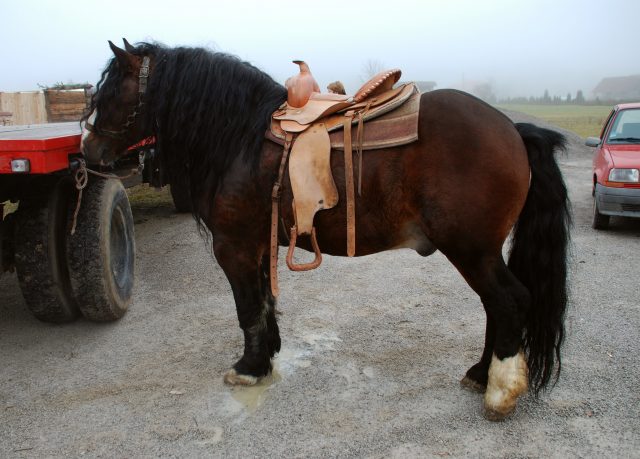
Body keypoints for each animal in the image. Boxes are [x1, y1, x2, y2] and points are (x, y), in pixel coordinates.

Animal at [81, 40, 570, 421]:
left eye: (113, 92)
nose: (89, 150)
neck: (241, 138)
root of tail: (512, 128)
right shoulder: (259, 244)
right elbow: (264, 302)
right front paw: (267, 355)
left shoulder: (233, 246)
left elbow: (246, 307)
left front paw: (249, 367)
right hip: (479, 253)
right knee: (496, 306)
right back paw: (479, 374)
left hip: (471, 250)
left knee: (509, 302)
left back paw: (499, 391)